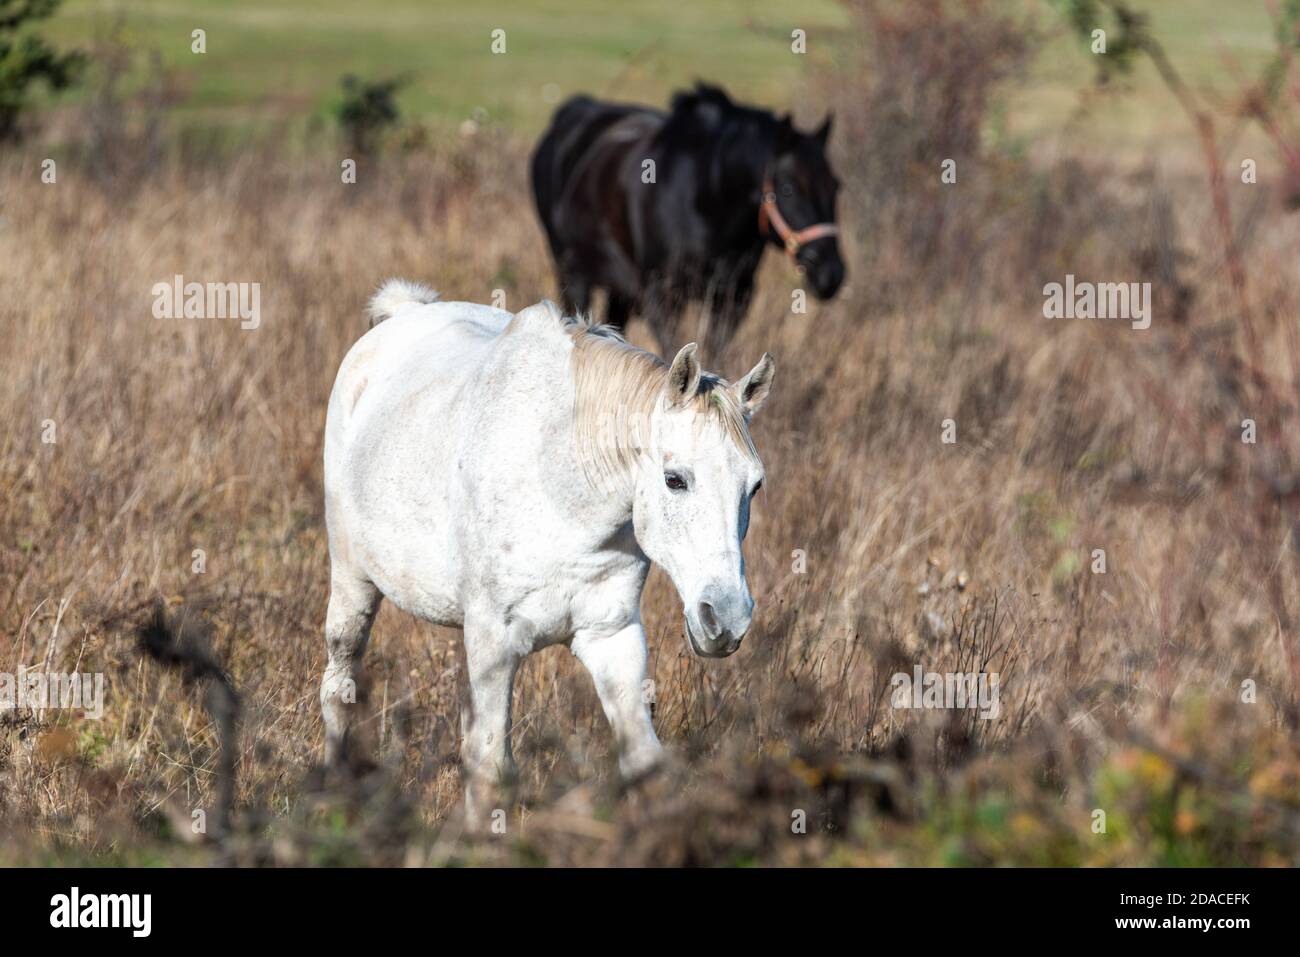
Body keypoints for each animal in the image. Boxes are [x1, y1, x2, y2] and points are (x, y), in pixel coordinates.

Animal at [321, 278, 775, 820]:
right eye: (674, 479)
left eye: (755, 486)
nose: (726, 619)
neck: (562, 490)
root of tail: (401, 315)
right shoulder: (494, 643)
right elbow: (490, 770)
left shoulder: (611, 636)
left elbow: (644, 763)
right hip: (352, 582)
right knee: (339, 688)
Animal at [531, 83, 845, 356]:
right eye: (788, 188)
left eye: (836, 186)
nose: (830, 273)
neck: (707, 202)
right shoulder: (661, 297)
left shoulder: (732, 300)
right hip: (573, 274)